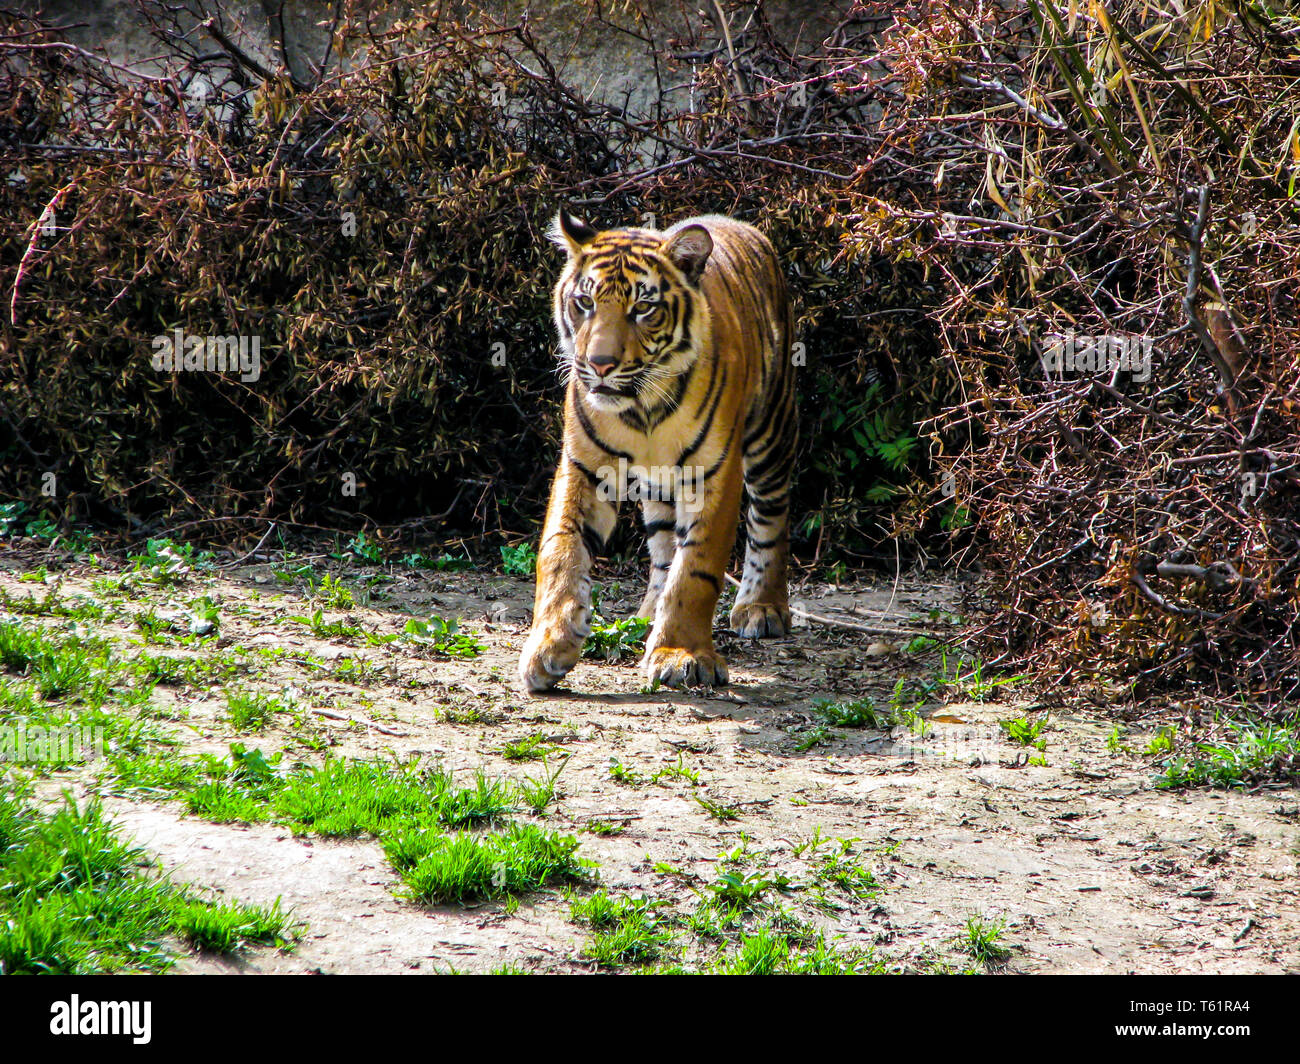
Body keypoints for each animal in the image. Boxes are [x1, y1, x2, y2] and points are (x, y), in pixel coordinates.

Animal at [518, 209, 798, 693]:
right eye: (585, 302)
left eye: (642, 308)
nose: (599, 364)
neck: (641, 409)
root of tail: (736, 222)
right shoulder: (582, 468)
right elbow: (559, 550)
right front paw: (550, 644)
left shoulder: (715, 475)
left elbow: (697, 570)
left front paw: (681, 653)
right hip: (660, 484)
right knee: (665, 548)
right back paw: (646, 616)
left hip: (770, 435)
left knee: (770, 519)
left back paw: (762, 608)